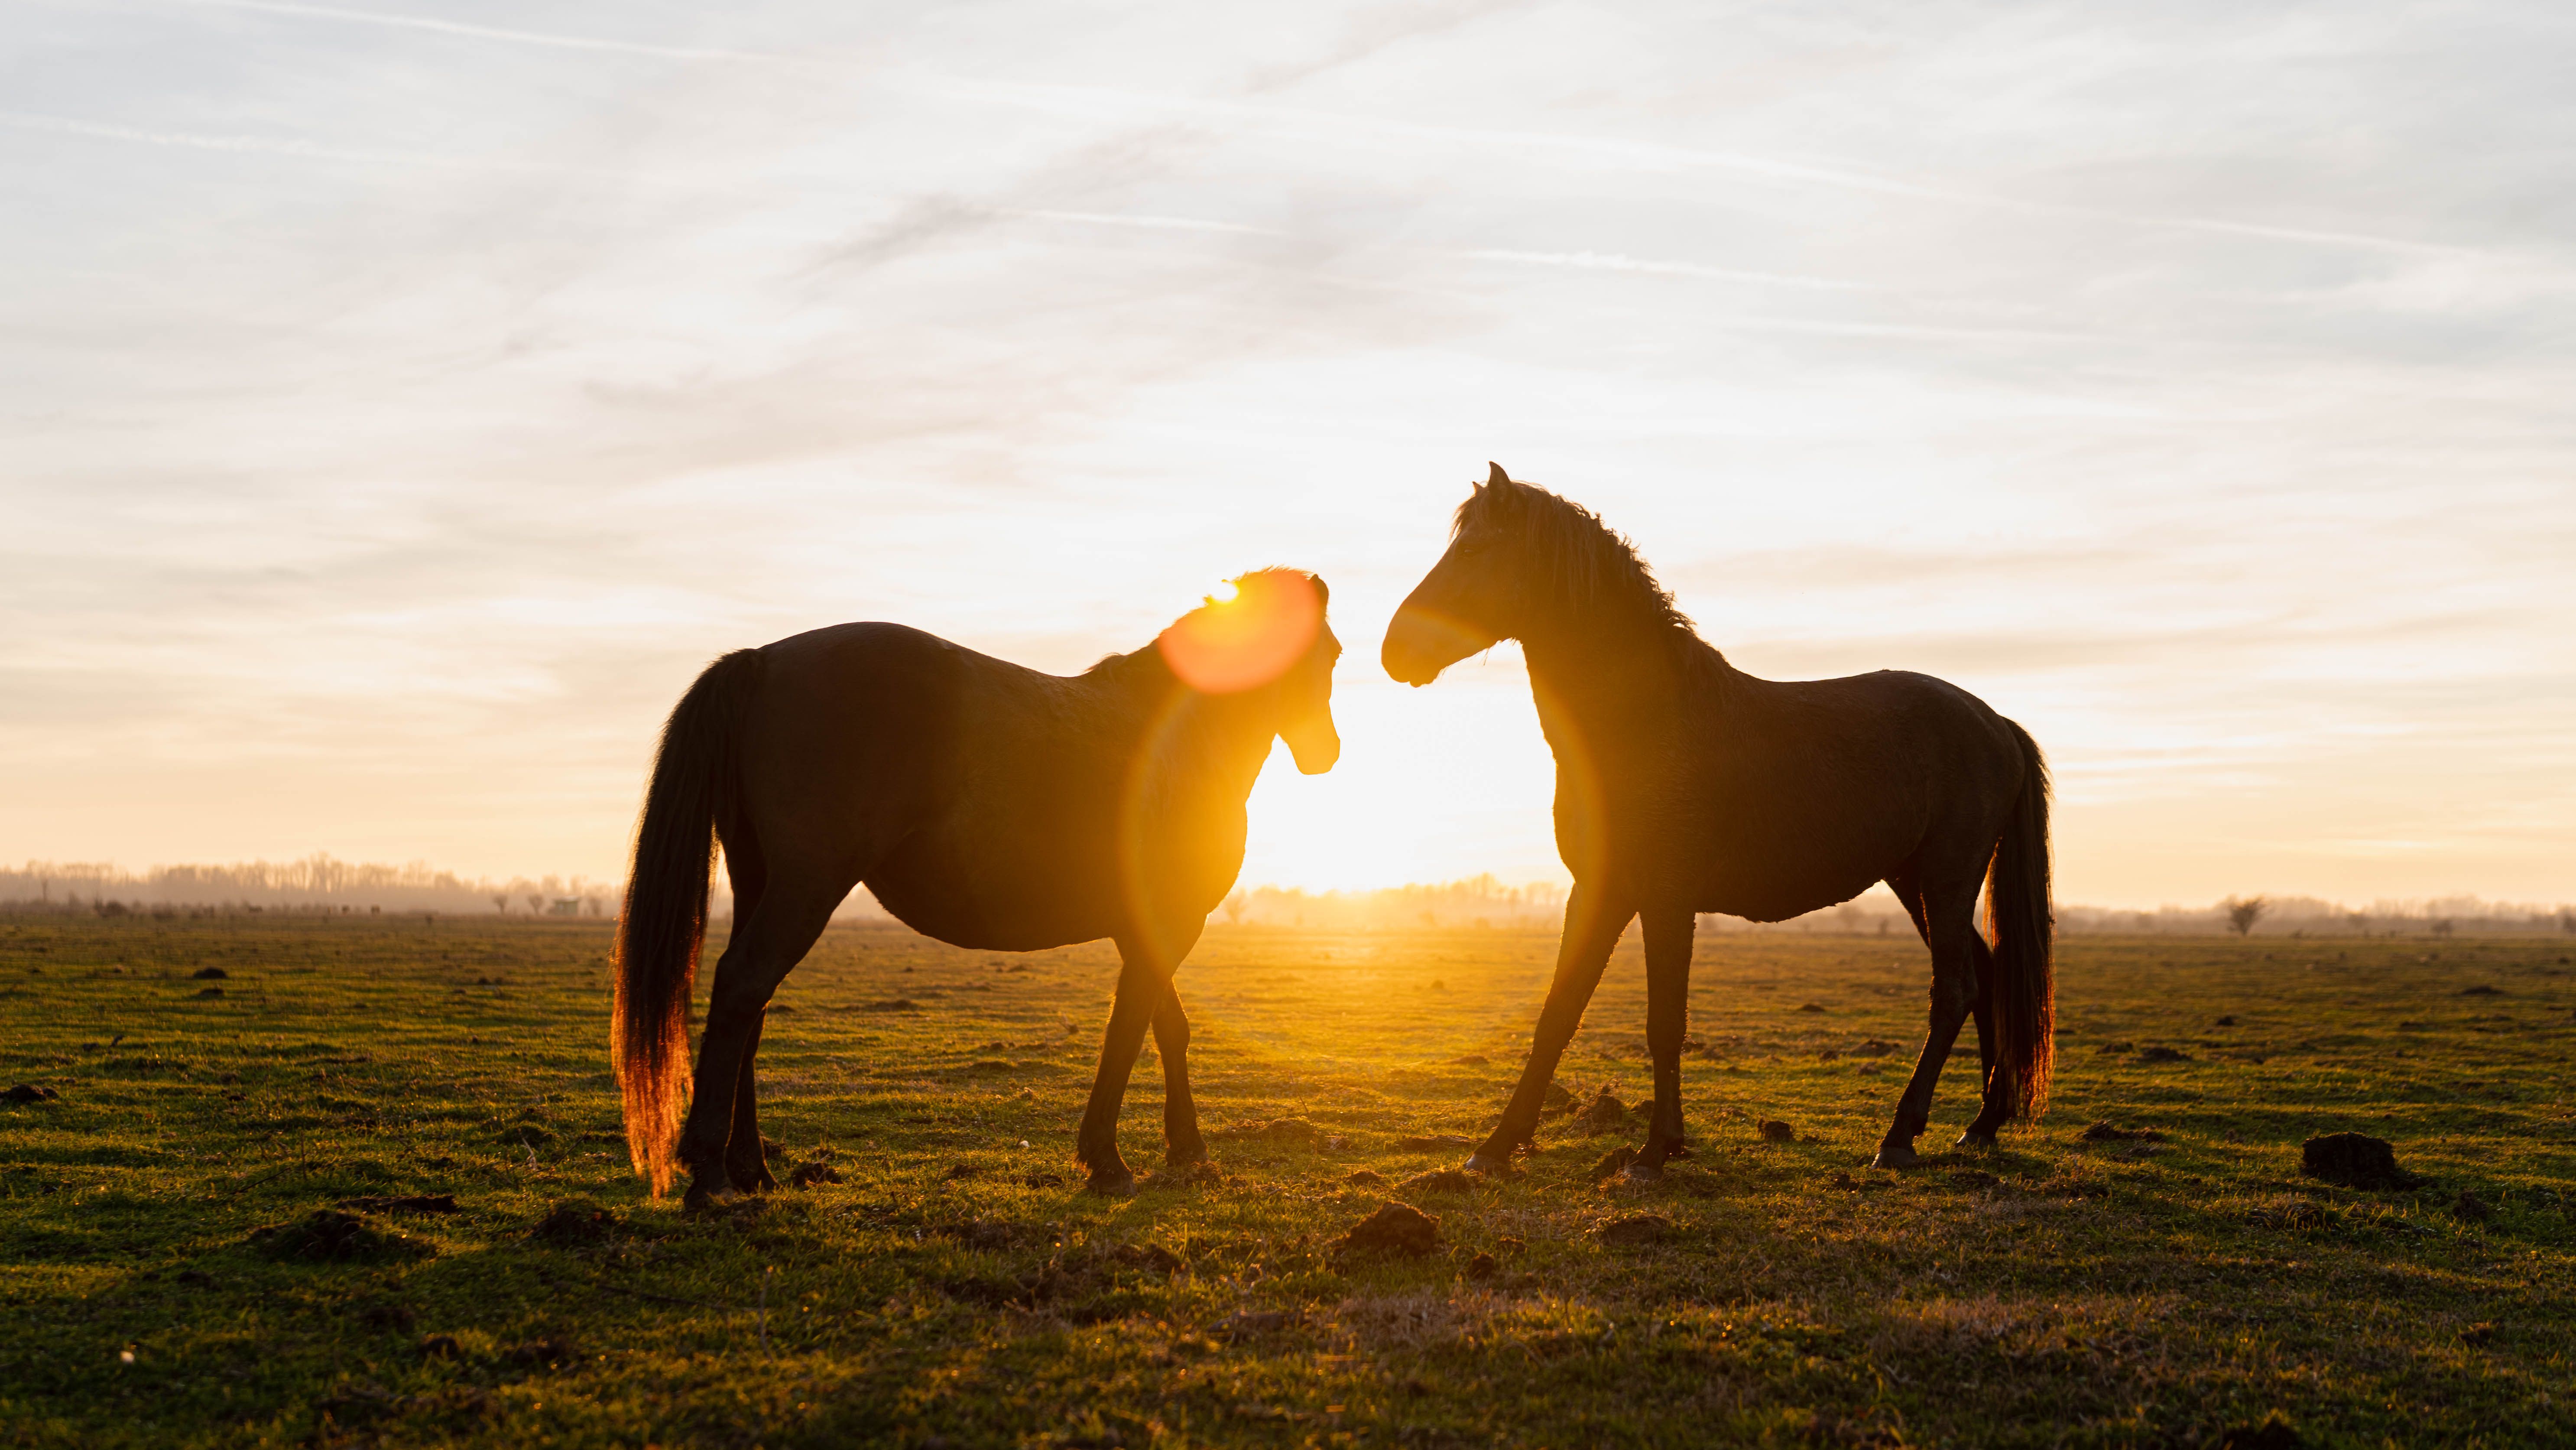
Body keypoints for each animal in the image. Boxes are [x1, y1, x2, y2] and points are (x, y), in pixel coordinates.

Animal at [613, 569, 1342, 1206]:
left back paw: (753, 1169)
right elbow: (1130, 1028)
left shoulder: (1145, 925)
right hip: (807, 884)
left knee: (752, 1004)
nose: (1325, 753)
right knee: (743, 984)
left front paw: (1184, 1150)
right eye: (1331, 651)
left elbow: (1166, 1027)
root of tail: (762, 661)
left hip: (760, 880)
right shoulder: (1169, 920)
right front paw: (1107, 1161)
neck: (1175, 742)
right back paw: (711, 1176)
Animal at [1381, 467, 2051, 1178]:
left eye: (1475, 551)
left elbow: (1663, 1025)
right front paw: (1498, 1143)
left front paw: (1654, 1150)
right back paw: (1982, 1123)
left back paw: (1899, 1136)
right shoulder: (1597, 893)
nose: (1396, 650)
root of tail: (1994, 722)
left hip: (1946, 878)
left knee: (1953, 990)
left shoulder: (1668, 901)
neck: (1642, 724)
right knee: (1985, 978)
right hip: (1912, 880)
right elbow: (1558, 1012)